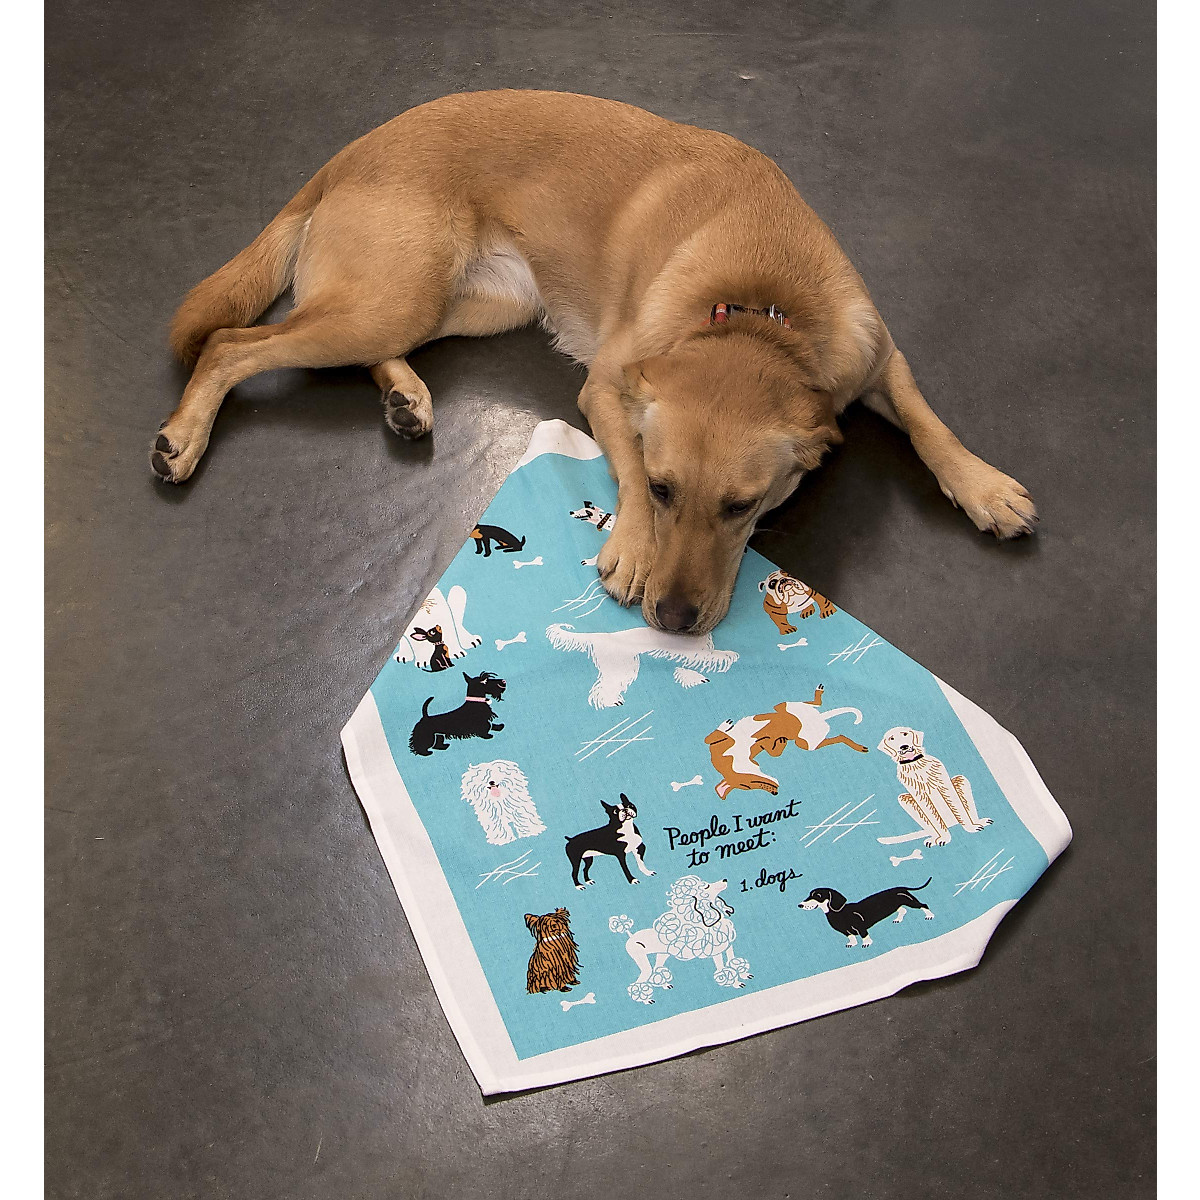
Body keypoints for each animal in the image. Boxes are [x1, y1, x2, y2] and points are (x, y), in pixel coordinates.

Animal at [157, 90, 1036, 637]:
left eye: (746, 507)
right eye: (666, 489)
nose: (674, 621)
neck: (759, 303)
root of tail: (344, 155)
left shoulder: (878, 355)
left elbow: (928, 424)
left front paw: (983, 486)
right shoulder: (606, 389)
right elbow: (624, 460)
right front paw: (636, 547)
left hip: (462, 304)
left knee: (366, 348)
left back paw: (405, 395)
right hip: (393, 296)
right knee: (232, 344)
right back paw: (184, 436)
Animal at [545, 622, 737, 708]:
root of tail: (598, 636)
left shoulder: (685, 658)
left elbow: (686, 671)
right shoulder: (693, 654)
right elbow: (714, 657)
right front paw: (729, 655)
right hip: (622, 667)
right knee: (603, 689)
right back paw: (611, 702)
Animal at [610, 875, 751, 1003]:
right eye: (706, 886)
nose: (724, 880)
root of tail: (630, 935)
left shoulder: (729, 947)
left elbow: (733, 962)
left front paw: (743, 975)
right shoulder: (715, 952)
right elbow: (723, 969)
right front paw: (735, 983)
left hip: (662, 955)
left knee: (657, 969)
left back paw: (664, 985)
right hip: (640, 957)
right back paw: (645, 999)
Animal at [705, 685, 867, 798]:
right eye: (747, 787)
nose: (775, 793)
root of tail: (820, 717)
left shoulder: (721, 744)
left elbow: (712, 737)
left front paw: (725, 725)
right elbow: (772, 751)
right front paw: (780, 741)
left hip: (785, 706)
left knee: (811, 704)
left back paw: (818, 693)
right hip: (807, 743)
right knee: (839, 736)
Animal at [800, 880, 934, 948]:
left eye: (818, 896)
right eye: (809, 895)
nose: (800, 905)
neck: (838, 913)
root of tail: (901, 887)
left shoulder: (860, 926)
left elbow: (864, 935)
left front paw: (866, 943)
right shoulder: (845, 932)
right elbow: (851, 937)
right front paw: (852, 944)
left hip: (910, 901)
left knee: (924, 905)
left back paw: (929, 915)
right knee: (903, 910)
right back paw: (898, 919)